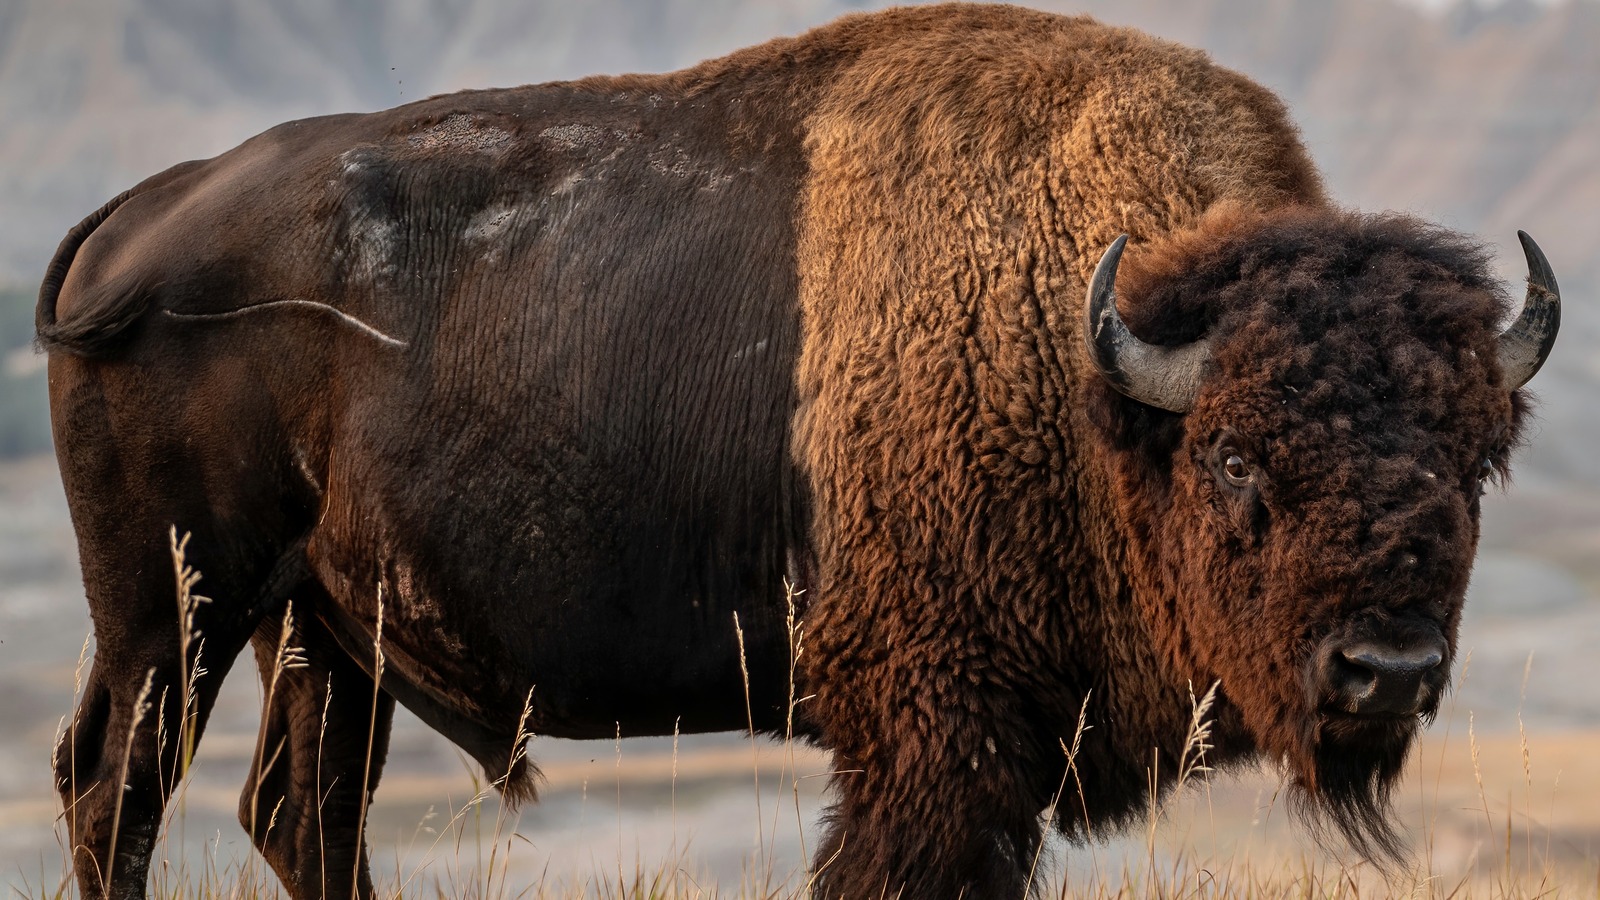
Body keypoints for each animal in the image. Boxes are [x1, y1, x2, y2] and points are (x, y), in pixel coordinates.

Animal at [37, 4, 1560, 899]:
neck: (1087, 358)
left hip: (320, 625)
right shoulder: (935, 736)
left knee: (301, 810)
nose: (1387, 670)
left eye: (1473, 461)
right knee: (118, 785)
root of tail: (142, 212)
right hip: (173, 606)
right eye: (1235, 458)